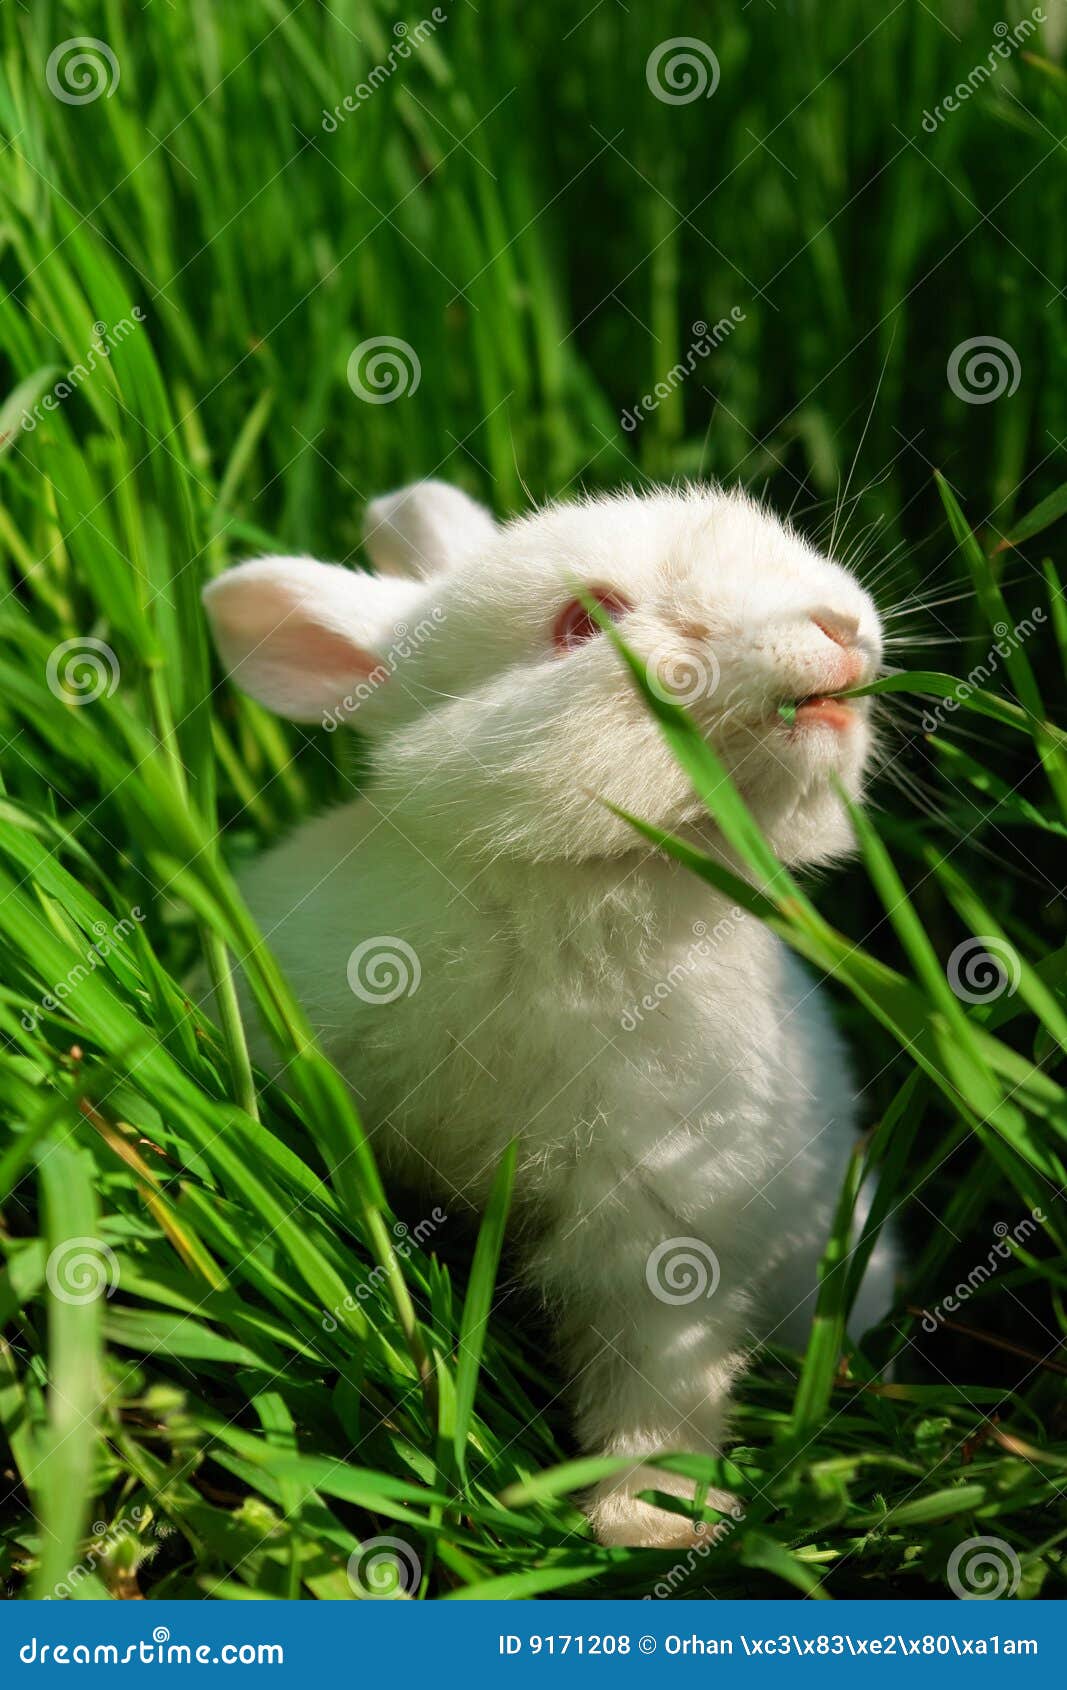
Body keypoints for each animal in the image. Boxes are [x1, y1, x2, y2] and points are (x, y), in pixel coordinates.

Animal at [202, 479, 897, 1549]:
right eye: (587, 622)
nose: (841, 626)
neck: (566, 881)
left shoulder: (658, 1226)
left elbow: (657, 1388)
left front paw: (649, 1526)